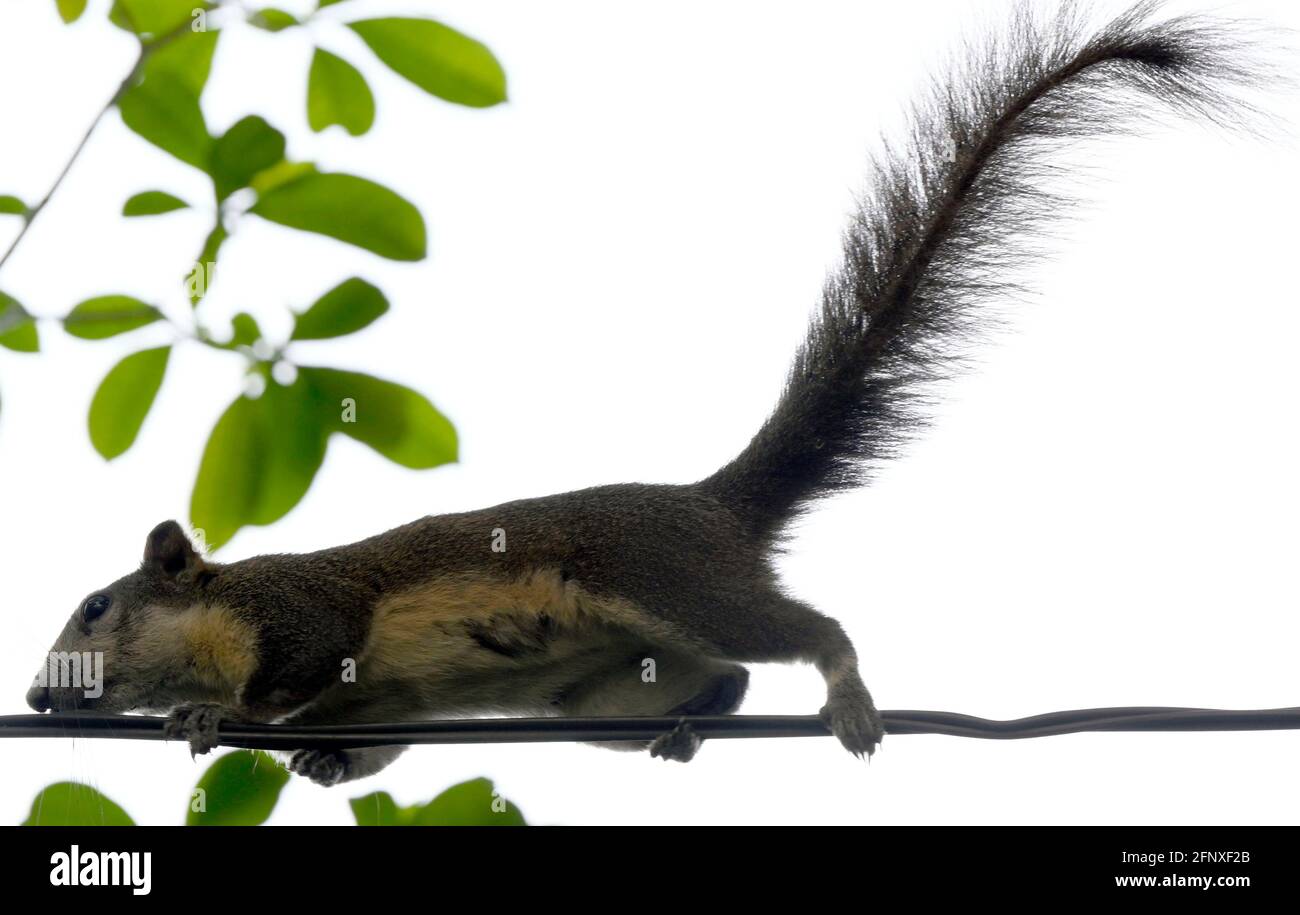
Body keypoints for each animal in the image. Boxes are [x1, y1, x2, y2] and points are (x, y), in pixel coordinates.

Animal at [26, 4, 1261, 785]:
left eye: (95, 608)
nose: (40, 697)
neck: (219, 612)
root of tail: (711, 504)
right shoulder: (380, 700)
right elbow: (358, 735)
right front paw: (325, 762)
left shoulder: (300, 612)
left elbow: (284, 674)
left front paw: (212, 712)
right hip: (597, 694)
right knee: (721, 679)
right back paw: (693, 727)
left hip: (672, 582)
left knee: (797, 630)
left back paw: (844, 688)